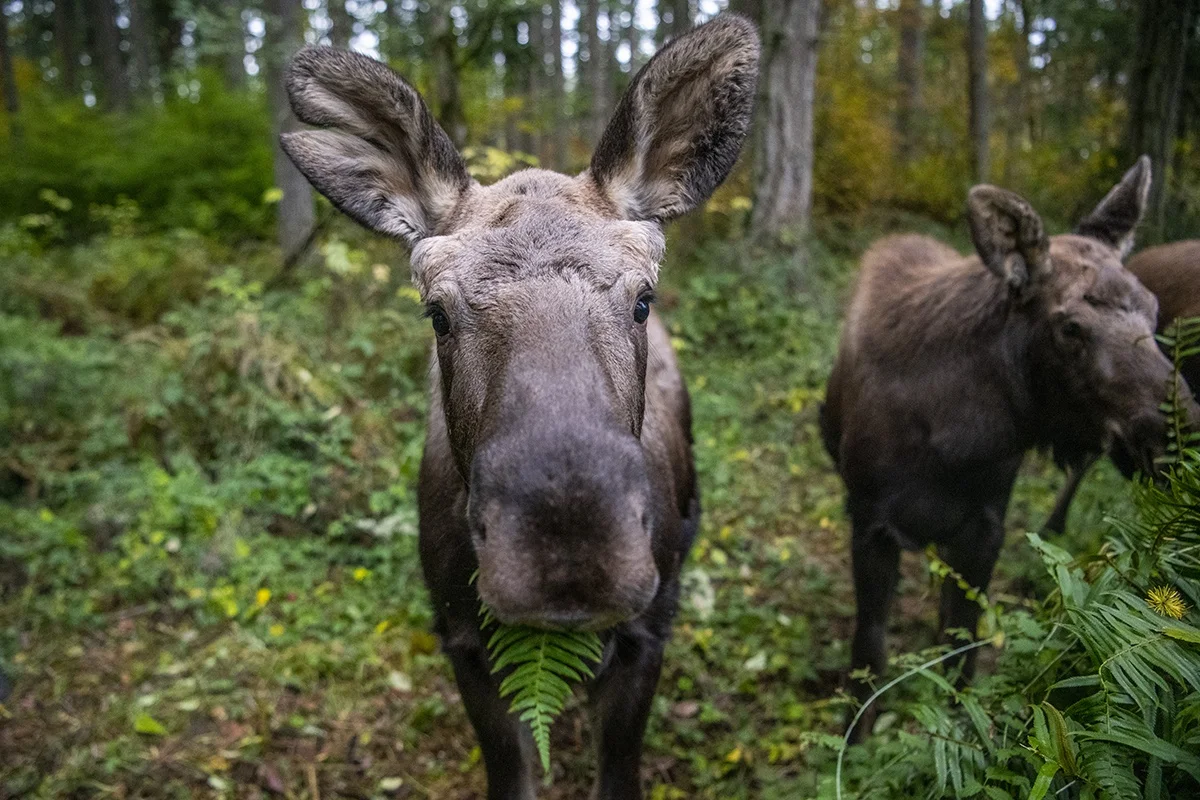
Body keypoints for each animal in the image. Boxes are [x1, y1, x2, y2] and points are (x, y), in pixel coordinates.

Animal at [820, 157, 1200, 741]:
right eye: (1071, 326)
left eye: (1155, 310)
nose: (1174, 436)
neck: (953, 441)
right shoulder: (870, 524)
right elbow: (870, 650)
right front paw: (853, 740)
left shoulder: (984, 525)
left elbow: (963, 650)